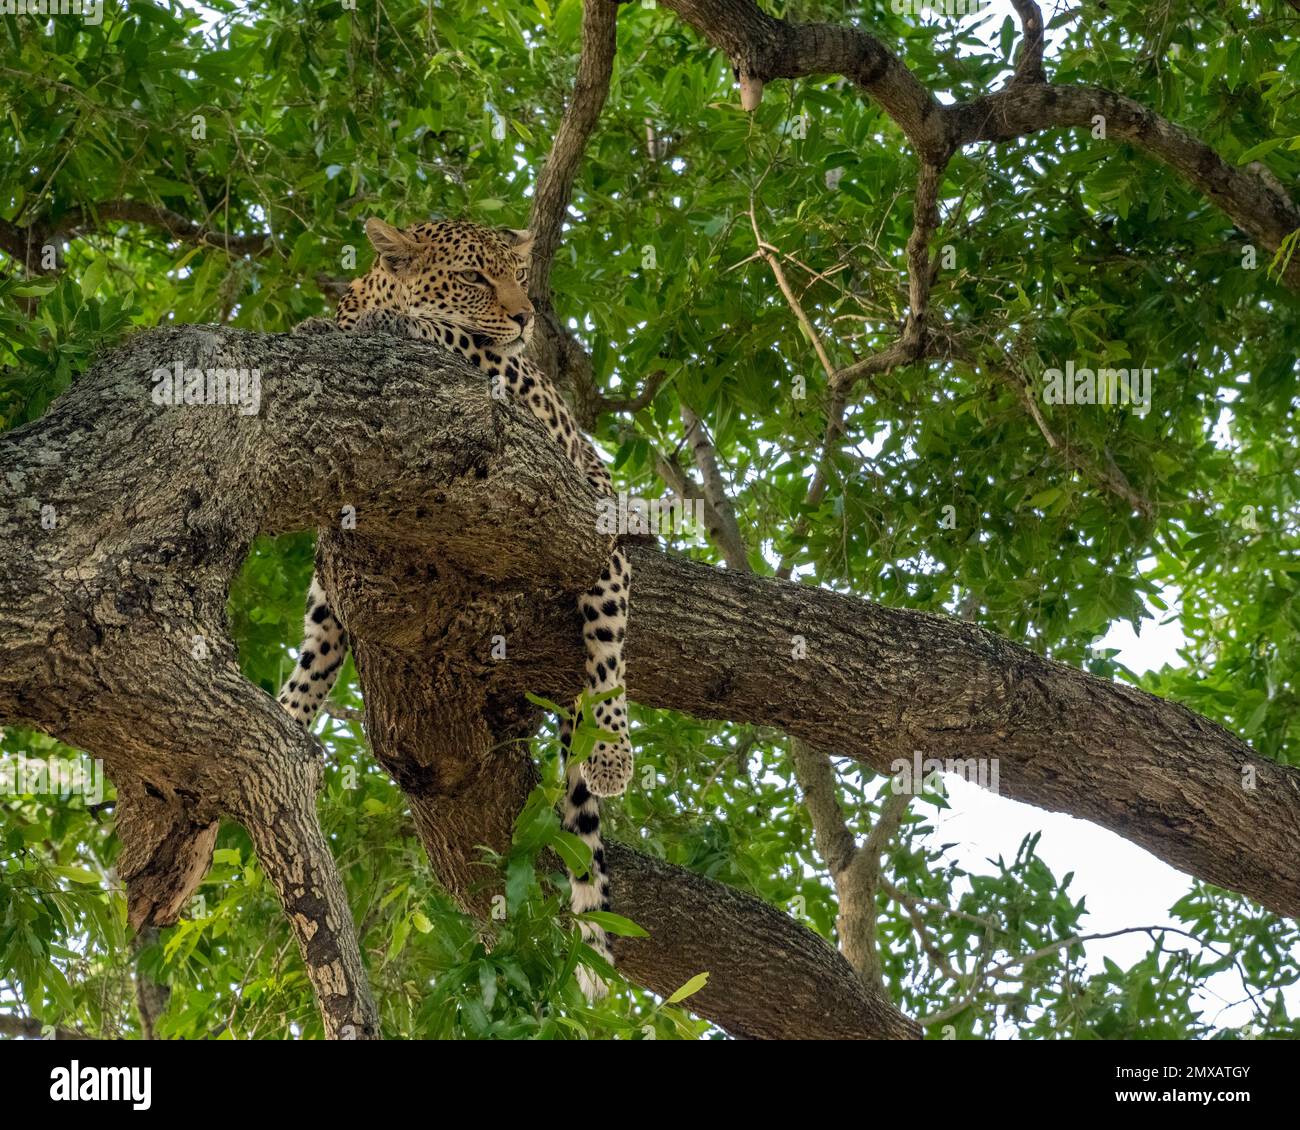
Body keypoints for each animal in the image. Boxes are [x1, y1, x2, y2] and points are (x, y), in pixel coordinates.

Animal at [280, 217, 633, 997]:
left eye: (518, 277)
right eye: (475, 277)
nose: (527, 318)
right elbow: (316, 648)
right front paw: (281, 722)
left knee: (608, 647)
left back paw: (612, 753)